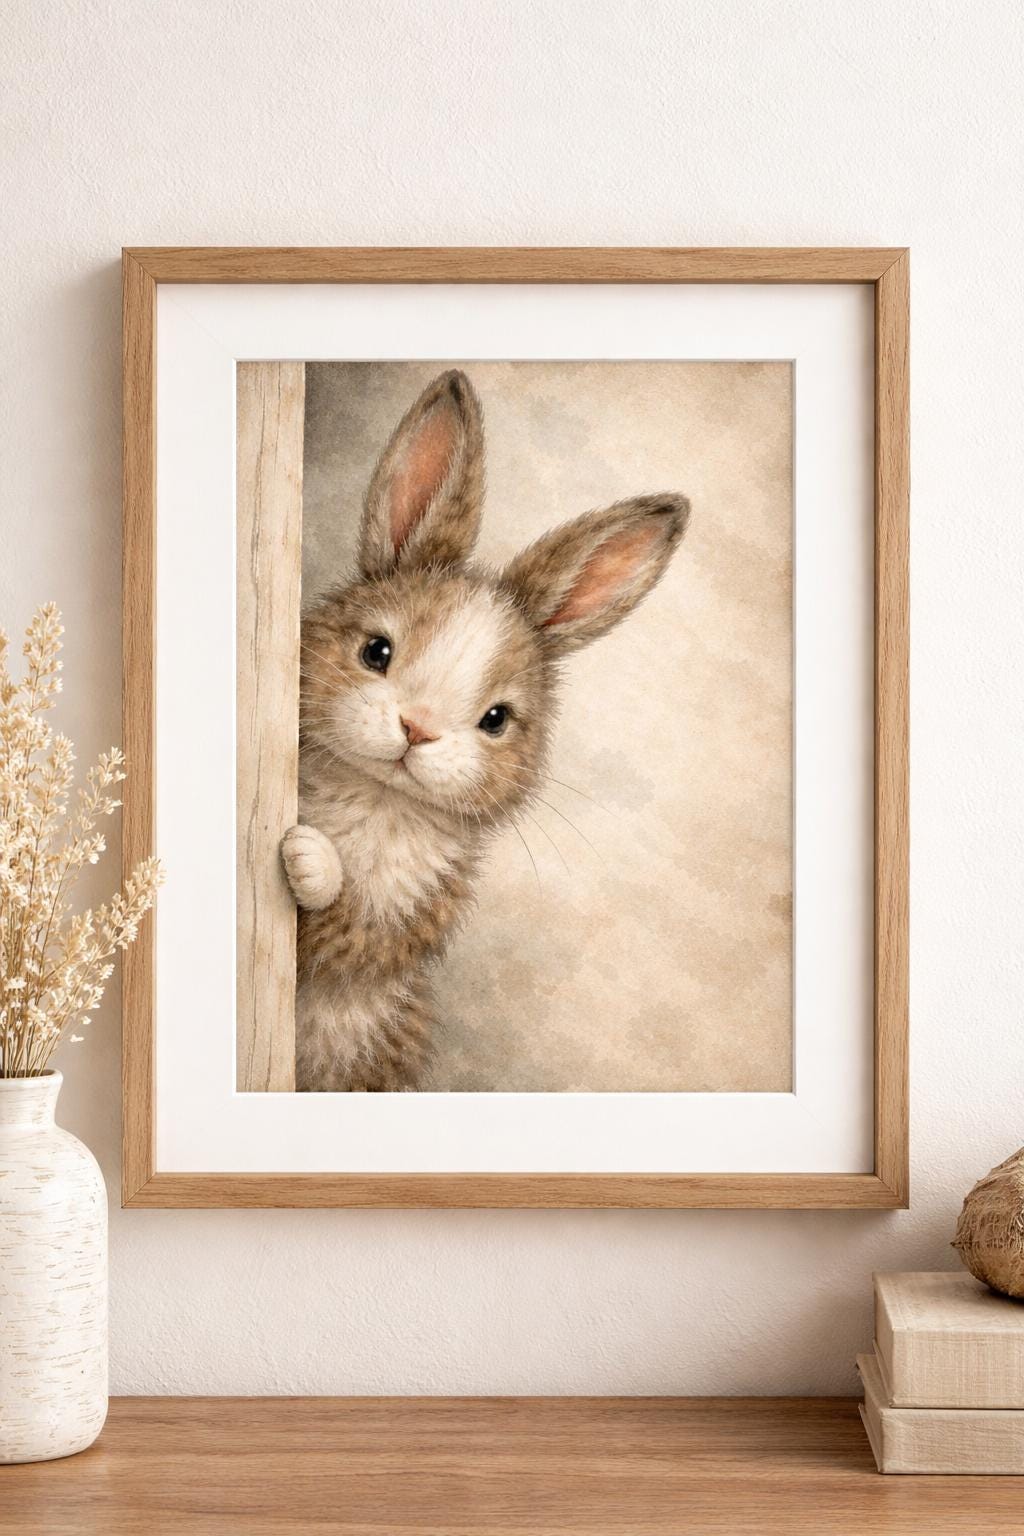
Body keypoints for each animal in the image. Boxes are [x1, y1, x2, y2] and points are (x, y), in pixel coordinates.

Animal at [283, 369, 690, 1091]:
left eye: (496, 719)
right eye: (376, 652)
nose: (416, 730)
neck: (377, 798)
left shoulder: (394, 929)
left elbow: (338, 926)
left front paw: (307, 855)